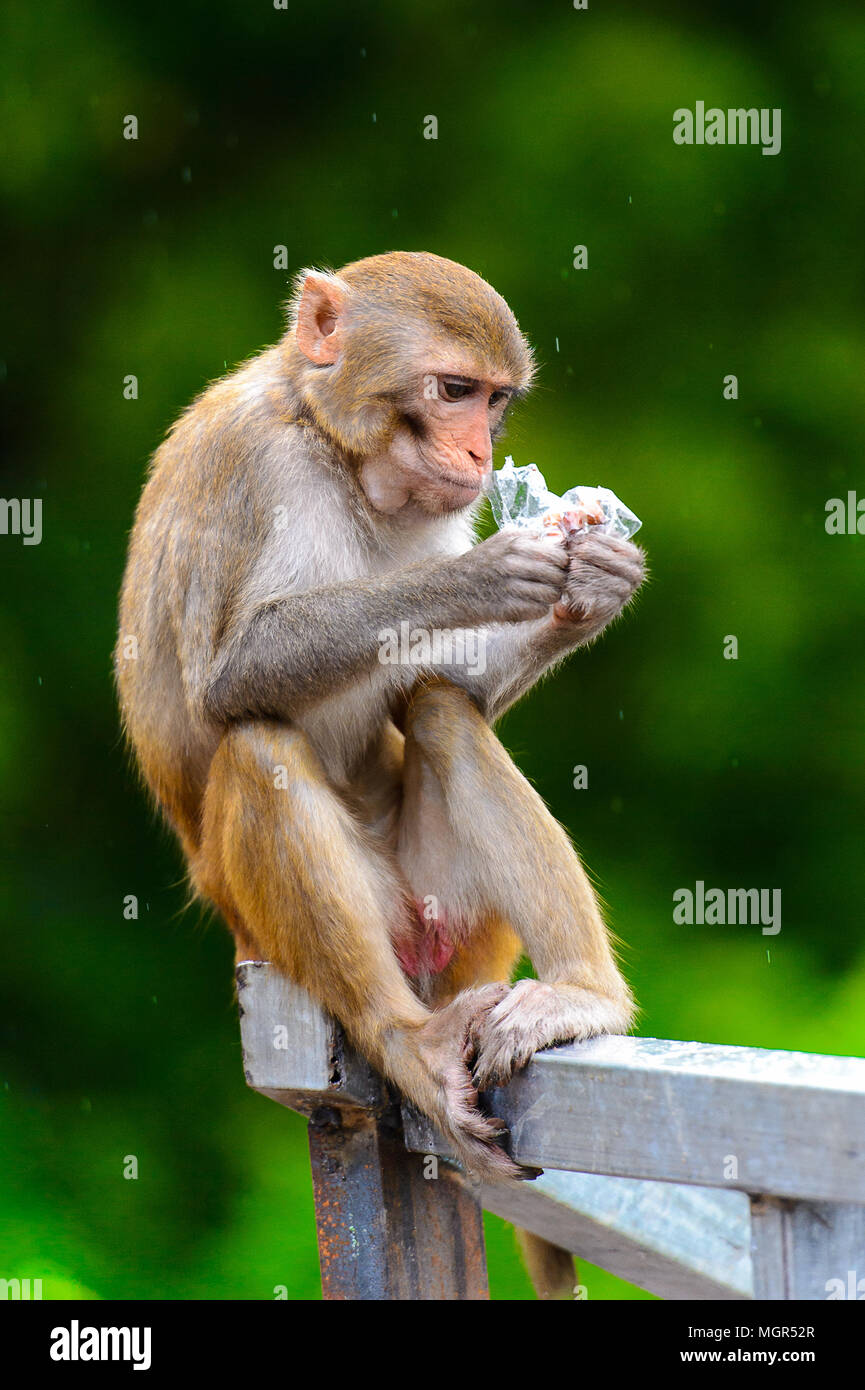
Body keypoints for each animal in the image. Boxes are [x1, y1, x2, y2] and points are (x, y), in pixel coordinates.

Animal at [115, 251, 645, 1298]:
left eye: (496, 402)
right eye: (452, 392)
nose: (478, 456)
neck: (331, 447)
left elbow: (441, 690)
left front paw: (591, 582)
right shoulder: (249, 464)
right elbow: (227, 679)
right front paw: (483, 575)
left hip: (456, 912)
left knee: (438, 714)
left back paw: (581, 995)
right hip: (277, 920)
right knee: (259, 745)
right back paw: (402, 1034)